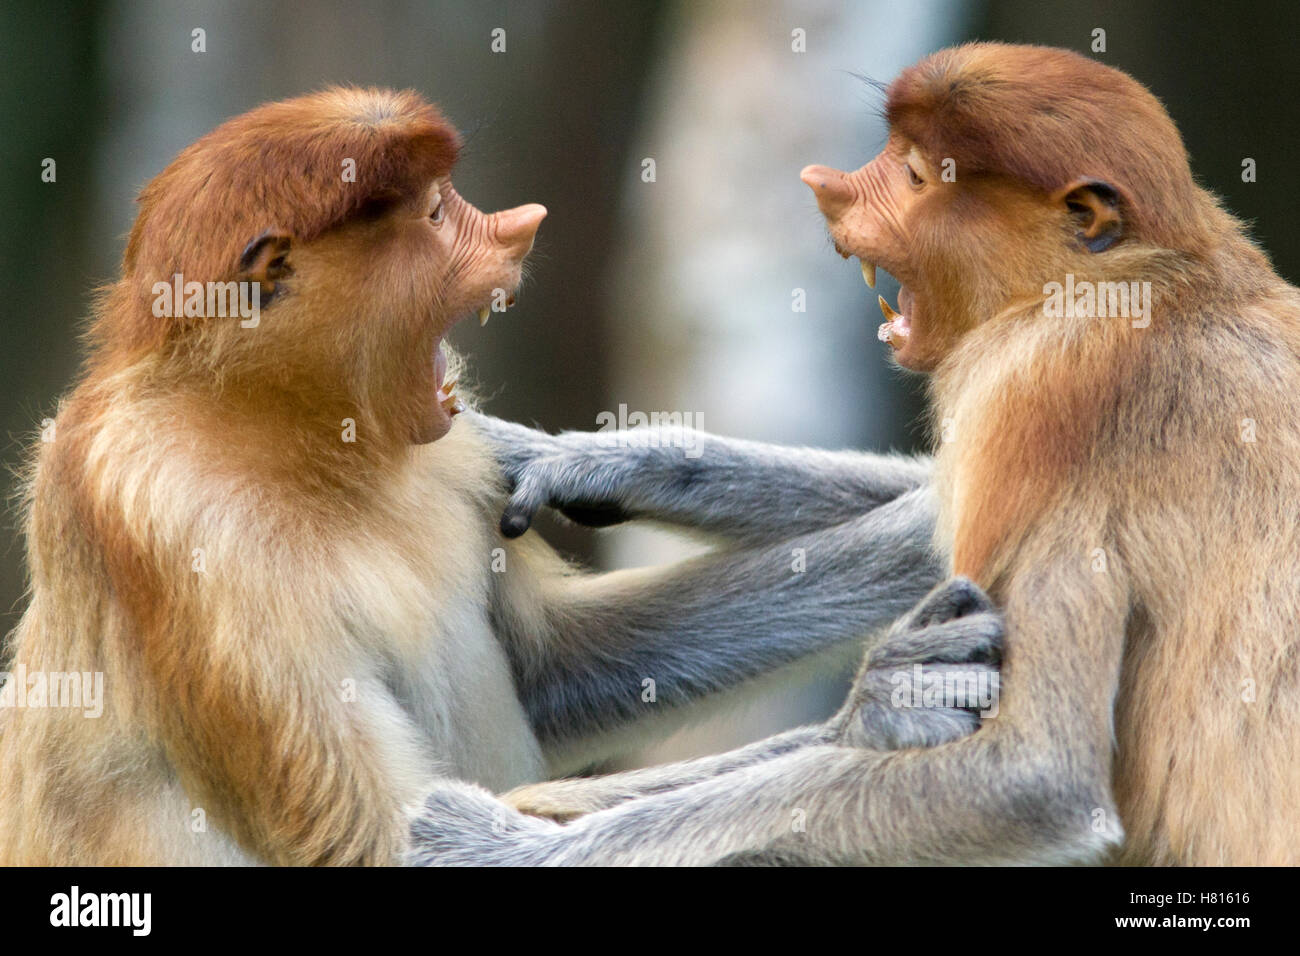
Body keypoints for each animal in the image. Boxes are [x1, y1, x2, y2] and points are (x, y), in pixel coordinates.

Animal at [0, 86, 975, 866]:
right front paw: (885, 701)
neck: (276, 425)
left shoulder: (448, 451)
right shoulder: (174, 522)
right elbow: (382, 841)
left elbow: (564, 674)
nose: (519, 225)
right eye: (435, 215)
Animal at [408, 42, 1300, 866]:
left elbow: (1031, 774)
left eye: (914, 175)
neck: (1155, 275)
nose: (828, 189)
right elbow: (927, 514)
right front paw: (594, 459)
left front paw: (491, 845)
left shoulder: (1035, 387)